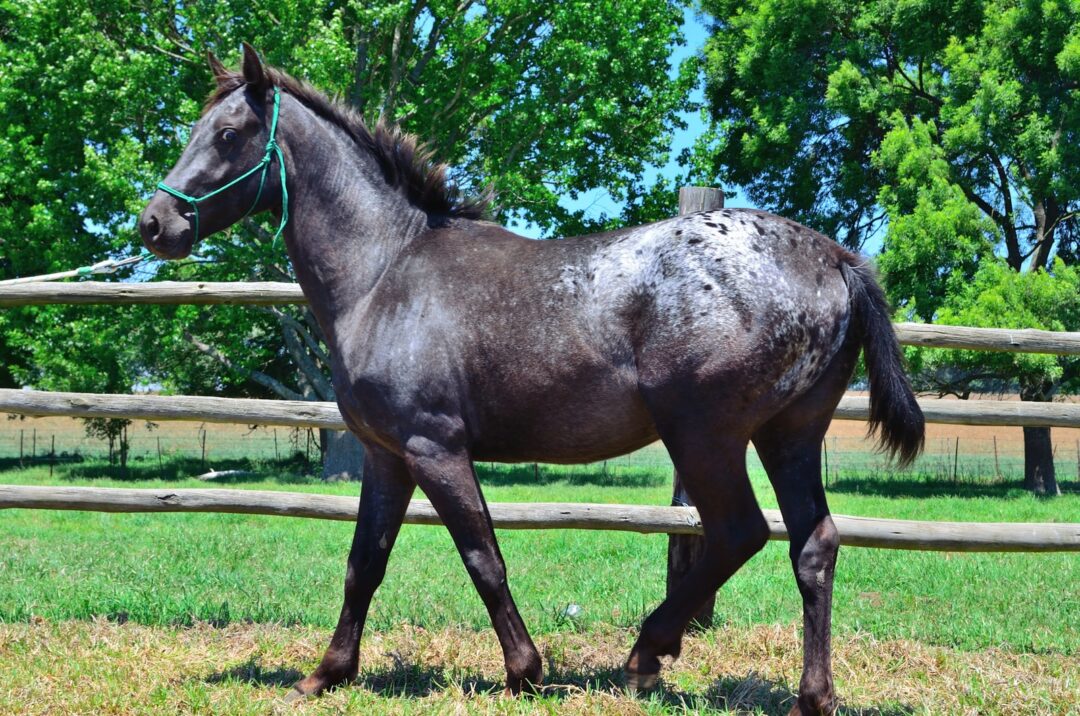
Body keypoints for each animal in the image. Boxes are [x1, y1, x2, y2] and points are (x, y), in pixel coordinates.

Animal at [139, 44, 923, 715]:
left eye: (230, 132)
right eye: (196, 127)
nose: (155, 222)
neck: (385, 274)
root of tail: (832, 258)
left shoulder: (434, 448)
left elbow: (483, 558)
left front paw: (525, 671)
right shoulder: (387, 457)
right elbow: (365, 562)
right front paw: (326, 674)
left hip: (705, 436)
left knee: (738, 532)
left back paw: (645, 655)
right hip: (790, 436)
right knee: (813, 545)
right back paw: (811, 695)